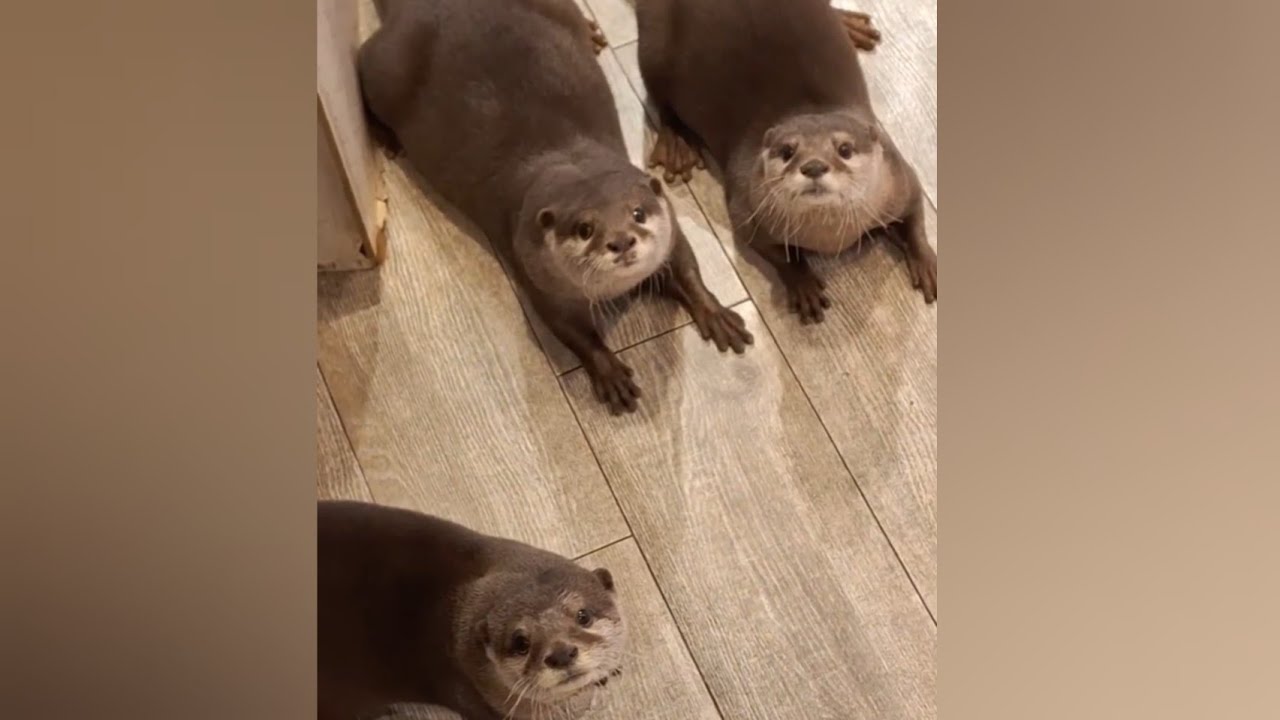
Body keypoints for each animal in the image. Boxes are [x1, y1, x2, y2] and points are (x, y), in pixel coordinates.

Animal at [359, 0, 752, 413]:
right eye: (585, 228)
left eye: (638, 213)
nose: (621, 241)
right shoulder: (539, 279)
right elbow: (572, 332)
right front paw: (609, 372)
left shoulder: (670, 229)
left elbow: (687, 266)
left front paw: (717, 315)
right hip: (387, 64)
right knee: (360, 65)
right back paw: (387, 138)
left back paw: (592, 32)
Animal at [637, 0, 937, 323]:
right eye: (787, 151)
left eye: (844, 148)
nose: (814, 166)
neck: (831, 239)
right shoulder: (747, 209)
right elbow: (777, 254)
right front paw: (803, 285)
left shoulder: (901, 178)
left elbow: (916, 218)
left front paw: (926, 263)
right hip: (653, 47)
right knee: (659, 100)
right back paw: (677, 144)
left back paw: (849, 24)